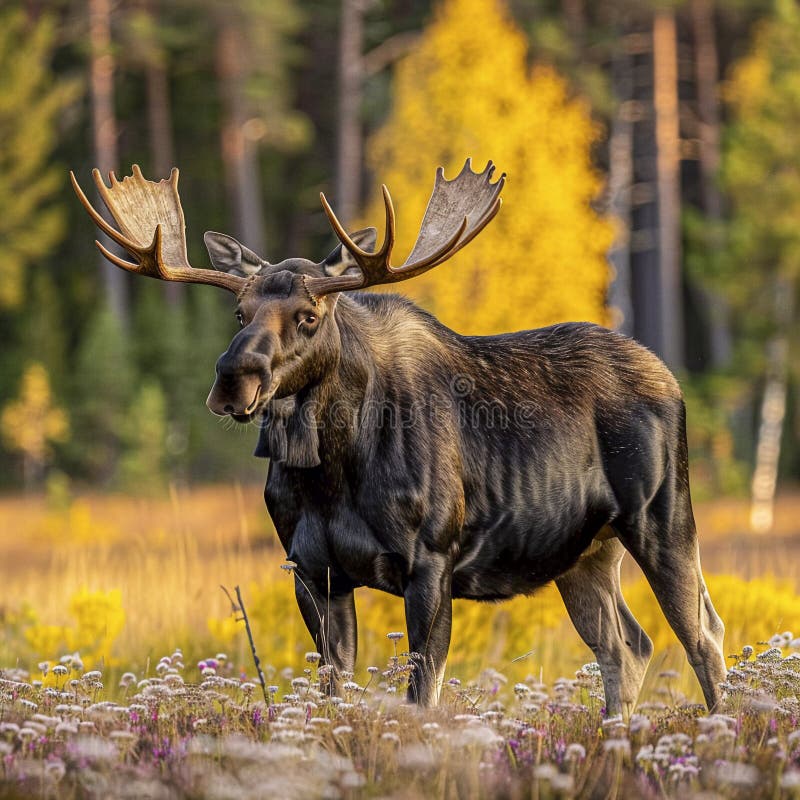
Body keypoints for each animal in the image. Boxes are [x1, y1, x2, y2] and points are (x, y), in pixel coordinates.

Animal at [71, 161, 726, 717]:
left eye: (310, 316)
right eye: (239, 312)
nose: (235, 378)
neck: (330, 473)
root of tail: (671, 379)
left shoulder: (432, 560)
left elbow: (421, 693)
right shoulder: (311, 570)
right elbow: (332, 691)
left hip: (663, 518)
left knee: (703, 637)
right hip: (585, 553)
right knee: (627, 646)